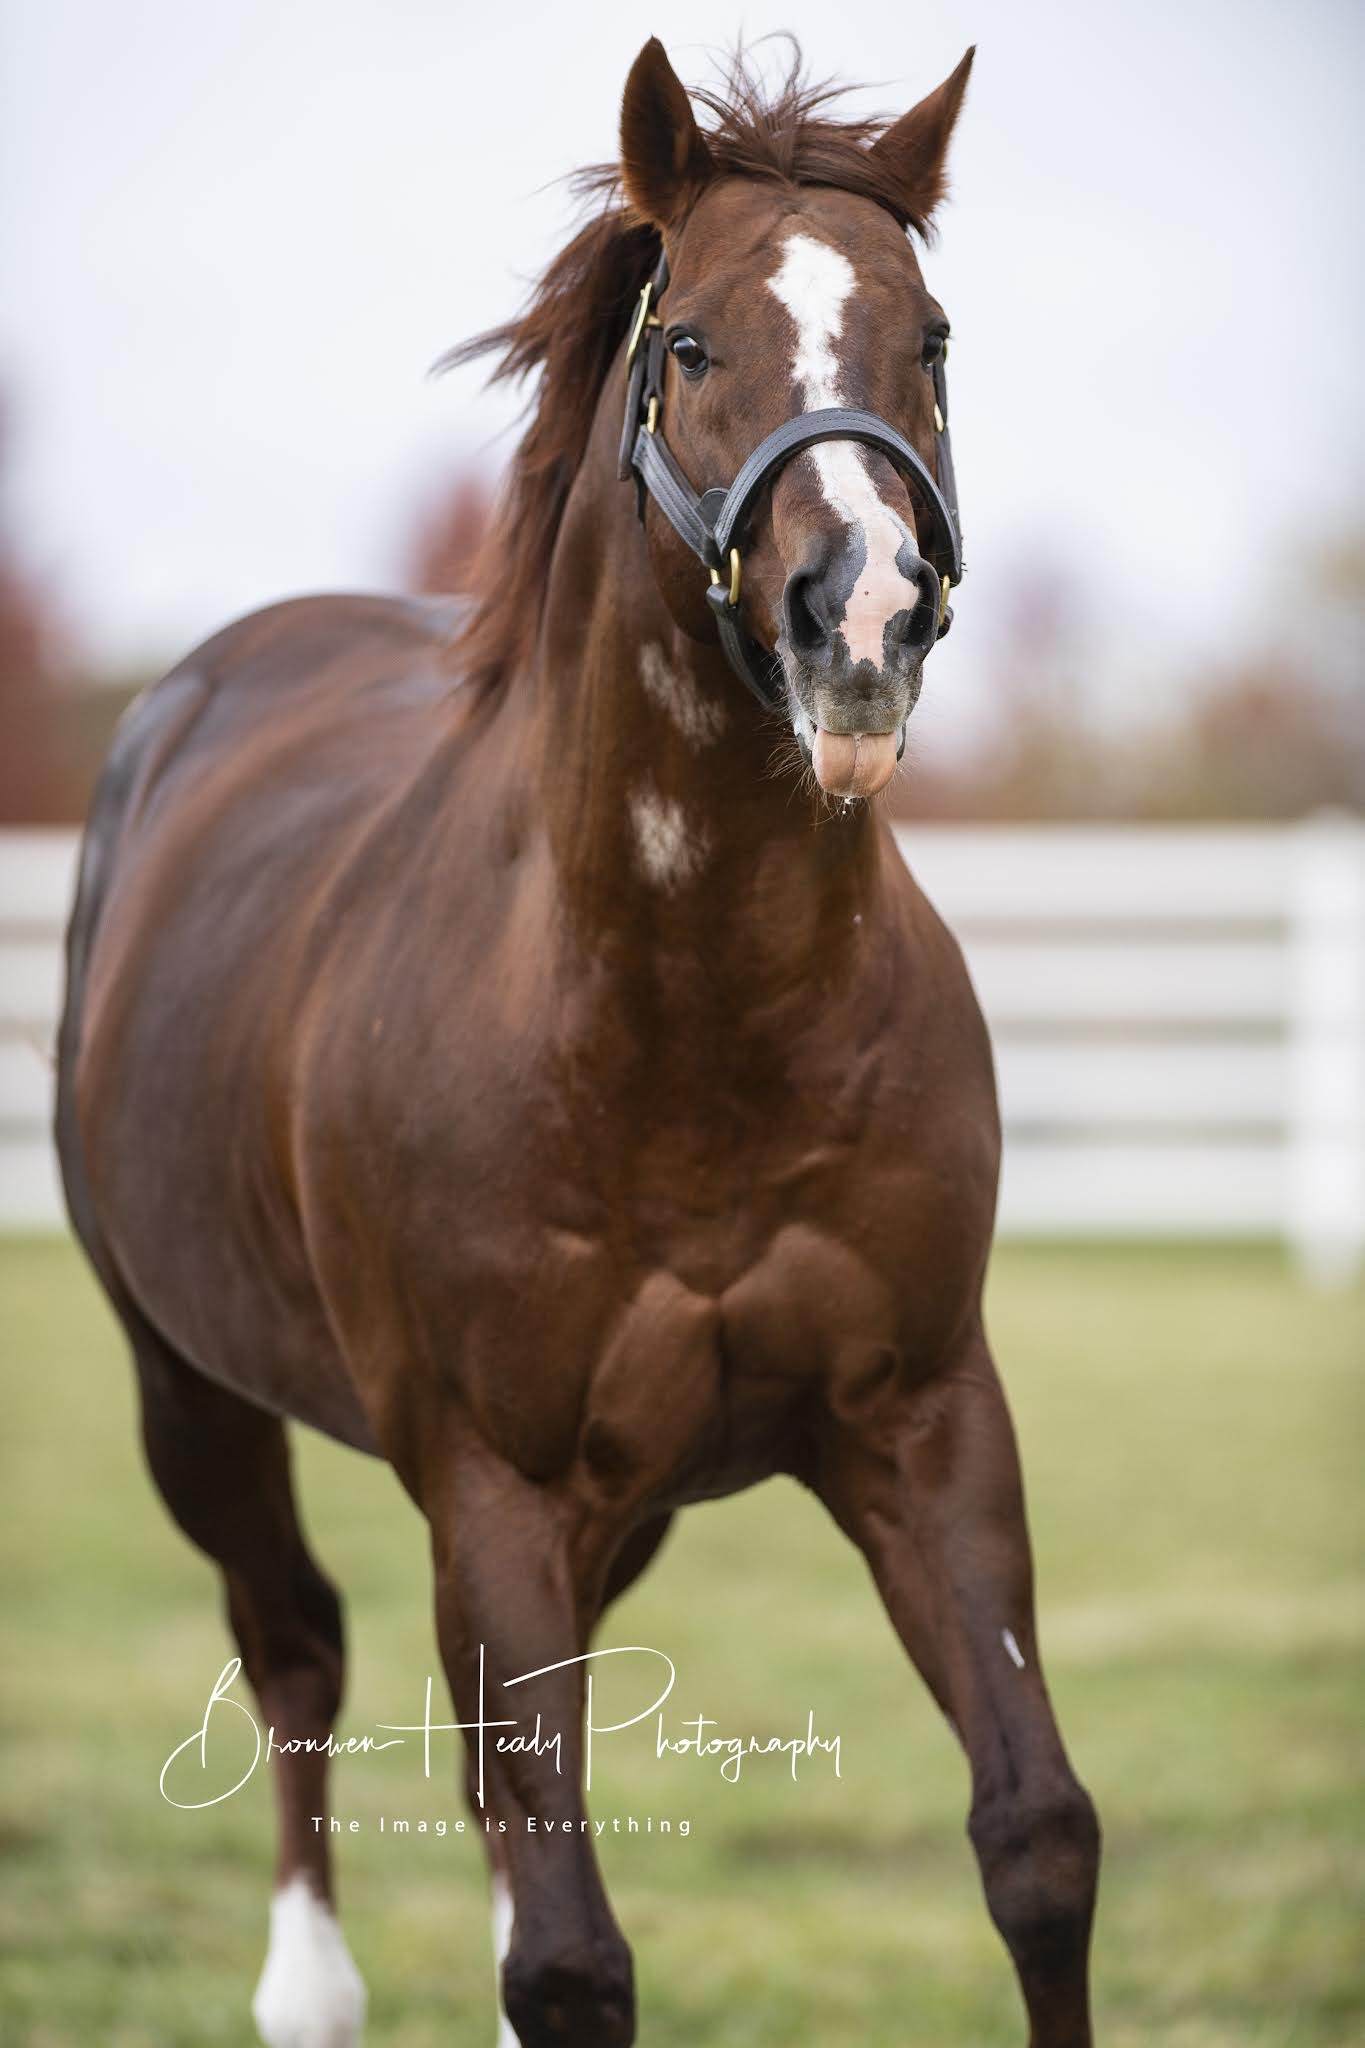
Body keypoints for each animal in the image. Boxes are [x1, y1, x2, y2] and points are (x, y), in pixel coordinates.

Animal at [55, 36, 1100, 2048]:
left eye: (930, 335)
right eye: (686, 342)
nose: (863, 616)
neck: (685, 1030)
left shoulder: (926, 1419)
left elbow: (1036, 1838)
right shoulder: (494, 1482)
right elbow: (568, 1953)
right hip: (189, 1396)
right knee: (294, 1649)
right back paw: (307, 1987)